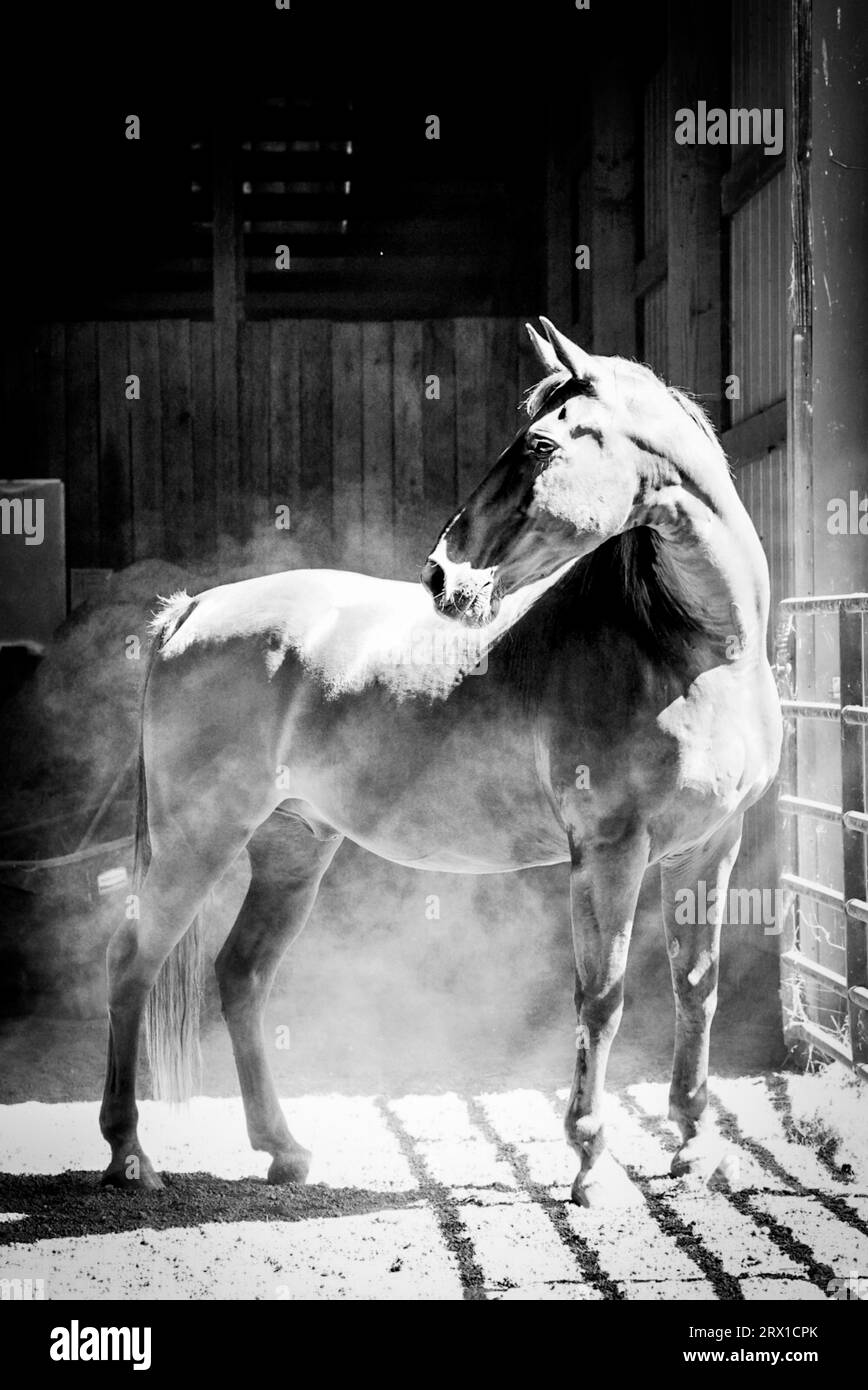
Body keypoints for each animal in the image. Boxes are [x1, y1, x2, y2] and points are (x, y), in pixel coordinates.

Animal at [99, 318, 782, 1206]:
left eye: (538, 443)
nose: (441, 574)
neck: (691, 647)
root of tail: (192, 611)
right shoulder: (611, 850)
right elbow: (601, 998)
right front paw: (591, 1163)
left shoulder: (709, 848)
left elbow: (694, 988)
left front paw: (696, 1148)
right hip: (198, 842)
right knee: (132, 962)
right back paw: (129, 1156)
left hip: (292, 848)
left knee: (241, 974)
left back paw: (284, 1148)